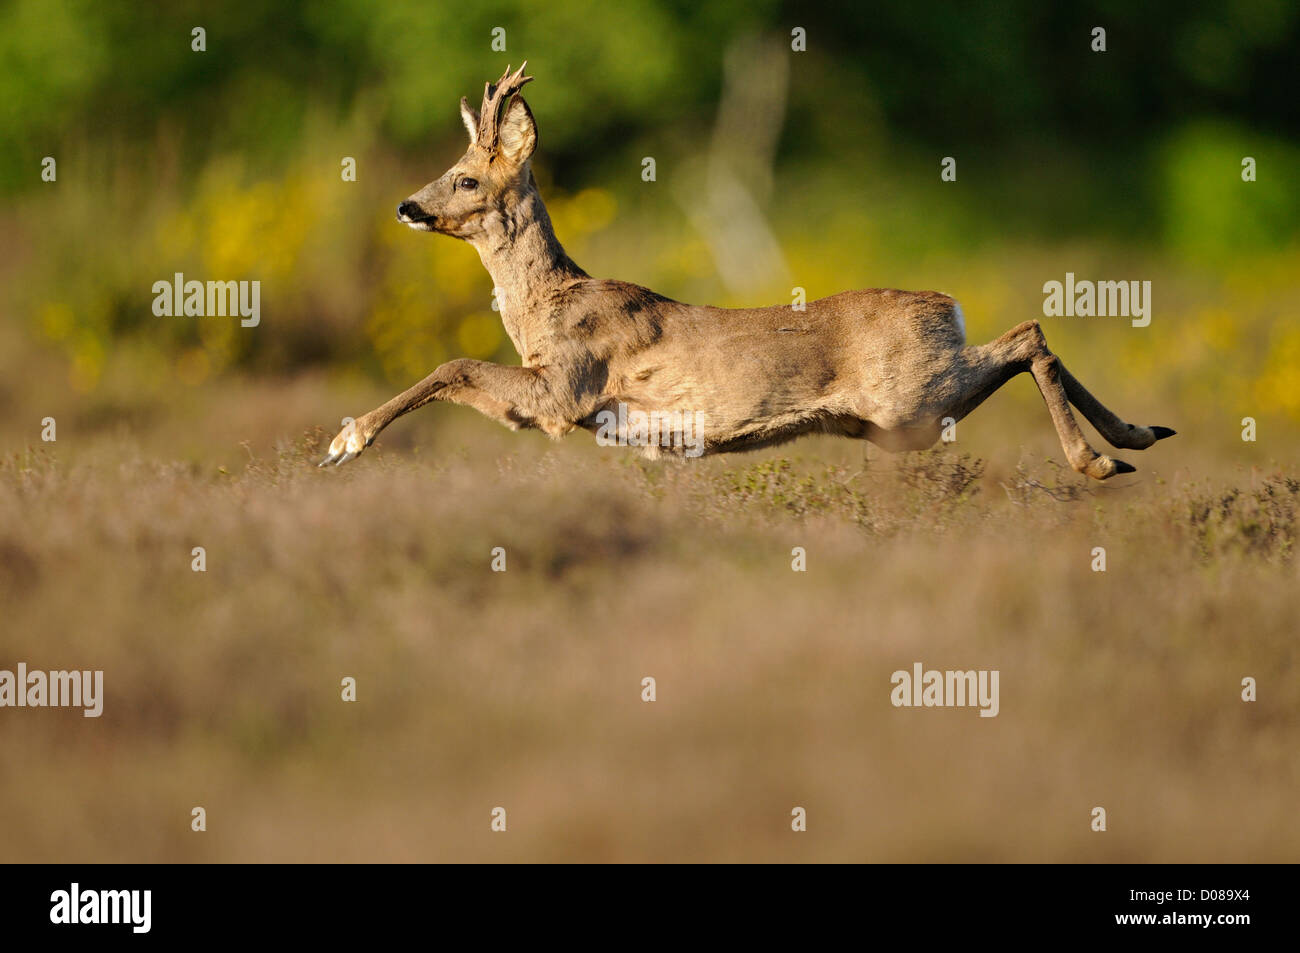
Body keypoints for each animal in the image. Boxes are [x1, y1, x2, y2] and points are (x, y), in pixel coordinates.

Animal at [320, 64, 1175, 479]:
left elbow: (451, 362)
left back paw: (1101, 460)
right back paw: (1140, 433)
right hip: (908, 415)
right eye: (445, 168)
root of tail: (947, 302)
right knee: (1031, 339)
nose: (406, 205)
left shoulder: (566, 389)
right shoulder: (547, 405)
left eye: (466, 178)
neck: (547, 301)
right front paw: (346, 438)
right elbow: (457, 373)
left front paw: (344, 440)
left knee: (1028, 334)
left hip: (910, 397)